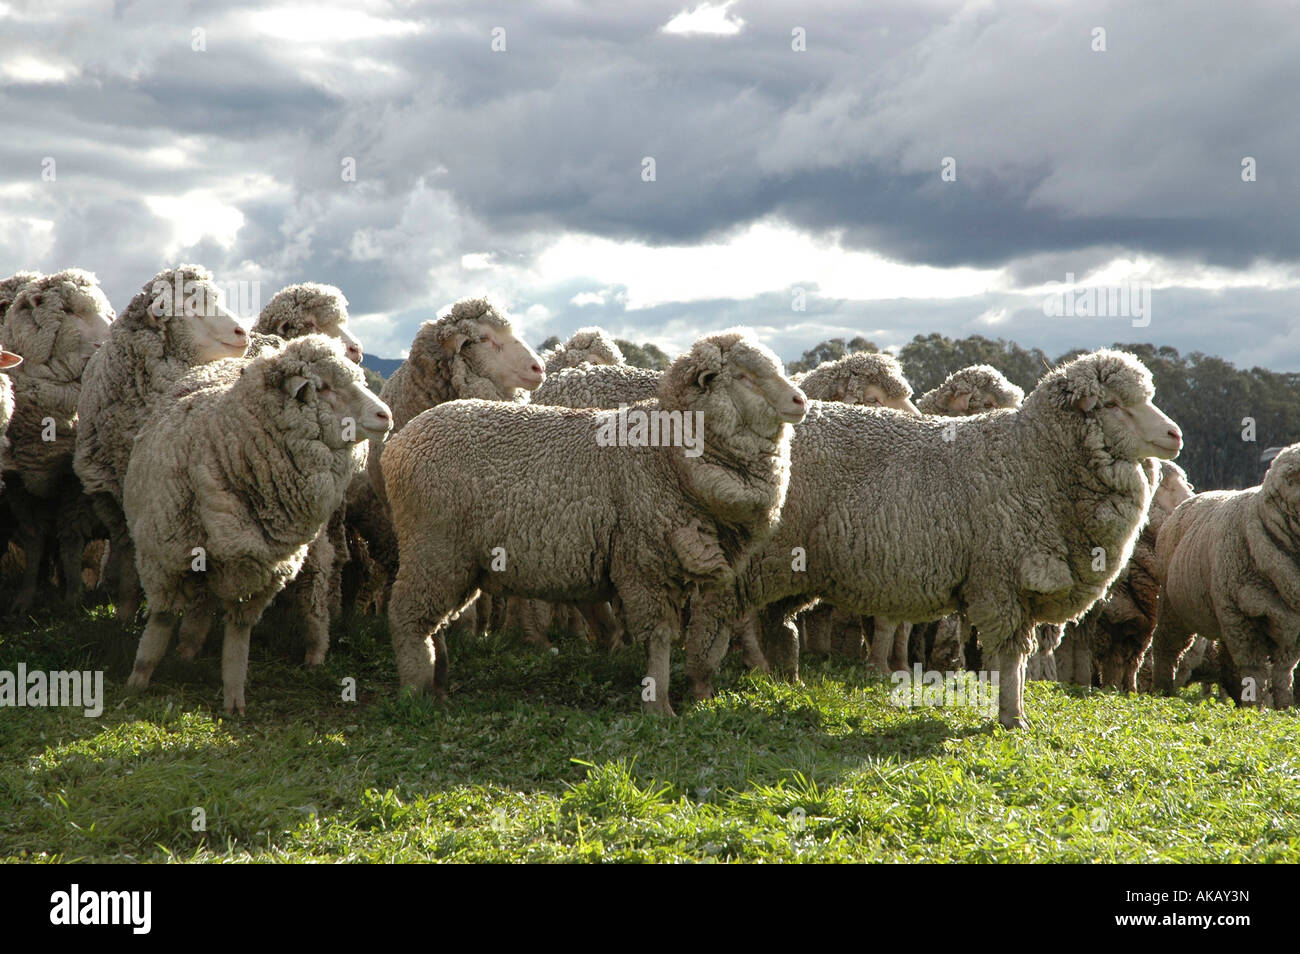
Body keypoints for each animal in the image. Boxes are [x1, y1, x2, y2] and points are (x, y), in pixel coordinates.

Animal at [0, 270, 116, 611]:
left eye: (108, 313)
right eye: (68, 310)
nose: (106, 343)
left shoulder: (73, 482)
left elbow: (70, 540)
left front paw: (72, 597)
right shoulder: (19, 485)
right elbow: (34, 539)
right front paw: (25, 598)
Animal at [123, 335, 391, 713]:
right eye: (323, 387)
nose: (386, 415)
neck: (229, 446)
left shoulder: (260, 569)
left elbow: (238, 634)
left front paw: (234, 695)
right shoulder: (165, 556)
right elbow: (161, 619)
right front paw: (139, 677)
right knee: (199, 603)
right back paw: (187, 647)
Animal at [382, 331, 808, 712]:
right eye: (743, 376)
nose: (800, 400)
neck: (667, 452)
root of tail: (400, 441)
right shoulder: (644, 564)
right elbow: (660, 636)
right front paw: (659, 708)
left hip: (454, 559)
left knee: (434, 621)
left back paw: (439, 685)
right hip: (433, 547)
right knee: (407, 617)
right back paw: (415, 692)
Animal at [1057, 460, 1194, 690]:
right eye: (1165, 484)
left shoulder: (1138, 634)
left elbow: (1129, 667)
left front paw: (1129, 692)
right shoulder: (1111, 627)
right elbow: (1113, 668)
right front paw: (1109, 690)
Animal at [1150, 443, 1300, 708]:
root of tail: (1194, 495)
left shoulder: (1292, 622)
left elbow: (1284, 673)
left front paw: (1283, 707)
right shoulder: (1240, 617)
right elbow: (1255, 668)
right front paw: (1256, 707)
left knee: (1228, 661)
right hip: (1174, 607)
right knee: (1166, 646)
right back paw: (1162, 690)